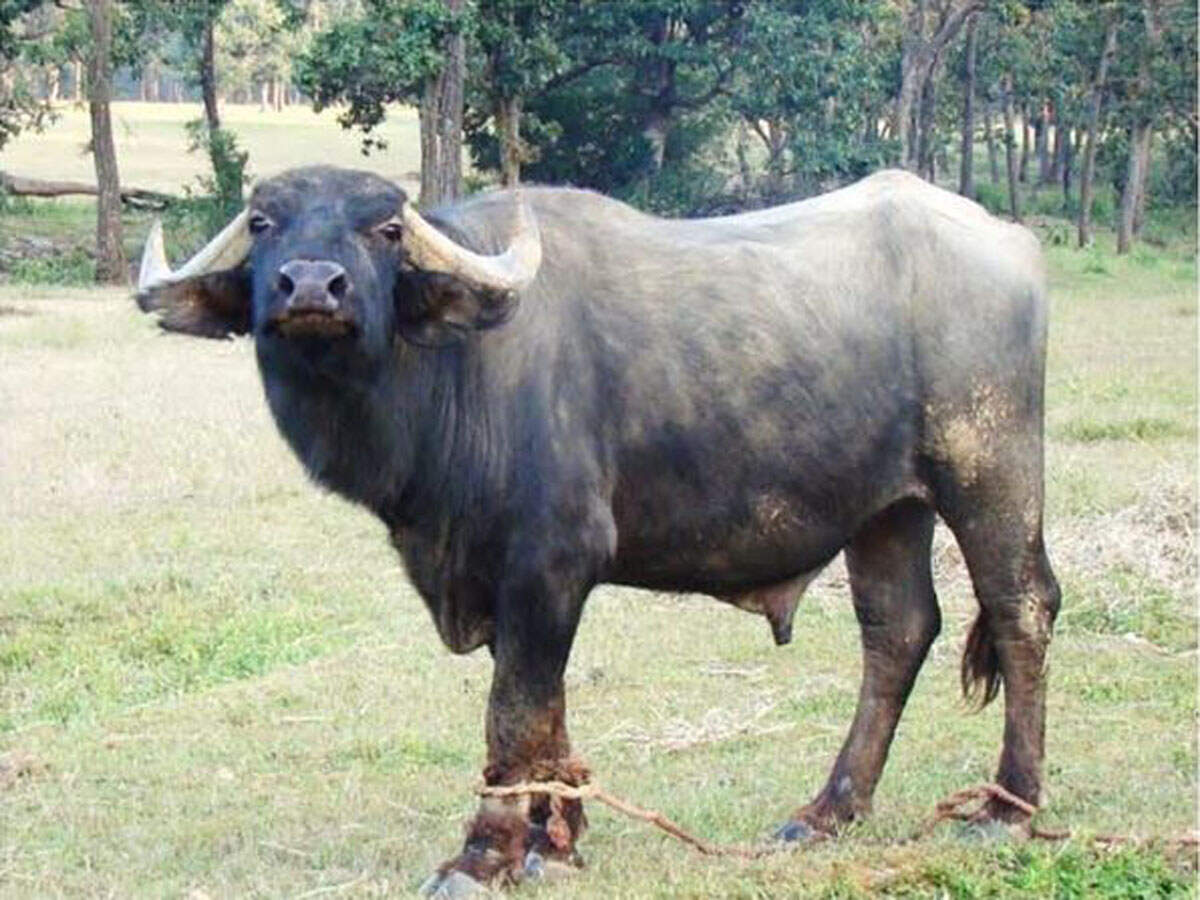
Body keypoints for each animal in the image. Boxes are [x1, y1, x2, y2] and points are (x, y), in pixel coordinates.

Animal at [136, 166, 1060, 895]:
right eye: (263, 224)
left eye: (386, 228)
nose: (310, 287)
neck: (459, 373)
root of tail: (1010, 242)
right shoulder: (510, 582)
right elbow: (546, 710)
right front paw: (553, 841)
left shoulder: (550, 563)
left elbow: (514, 713)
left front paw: (484, 855)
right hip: (885, 510)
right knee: (897, 630)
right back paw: (828, 811)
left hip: (988, 469)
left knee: (1023, 609)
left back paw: (1007, 809)